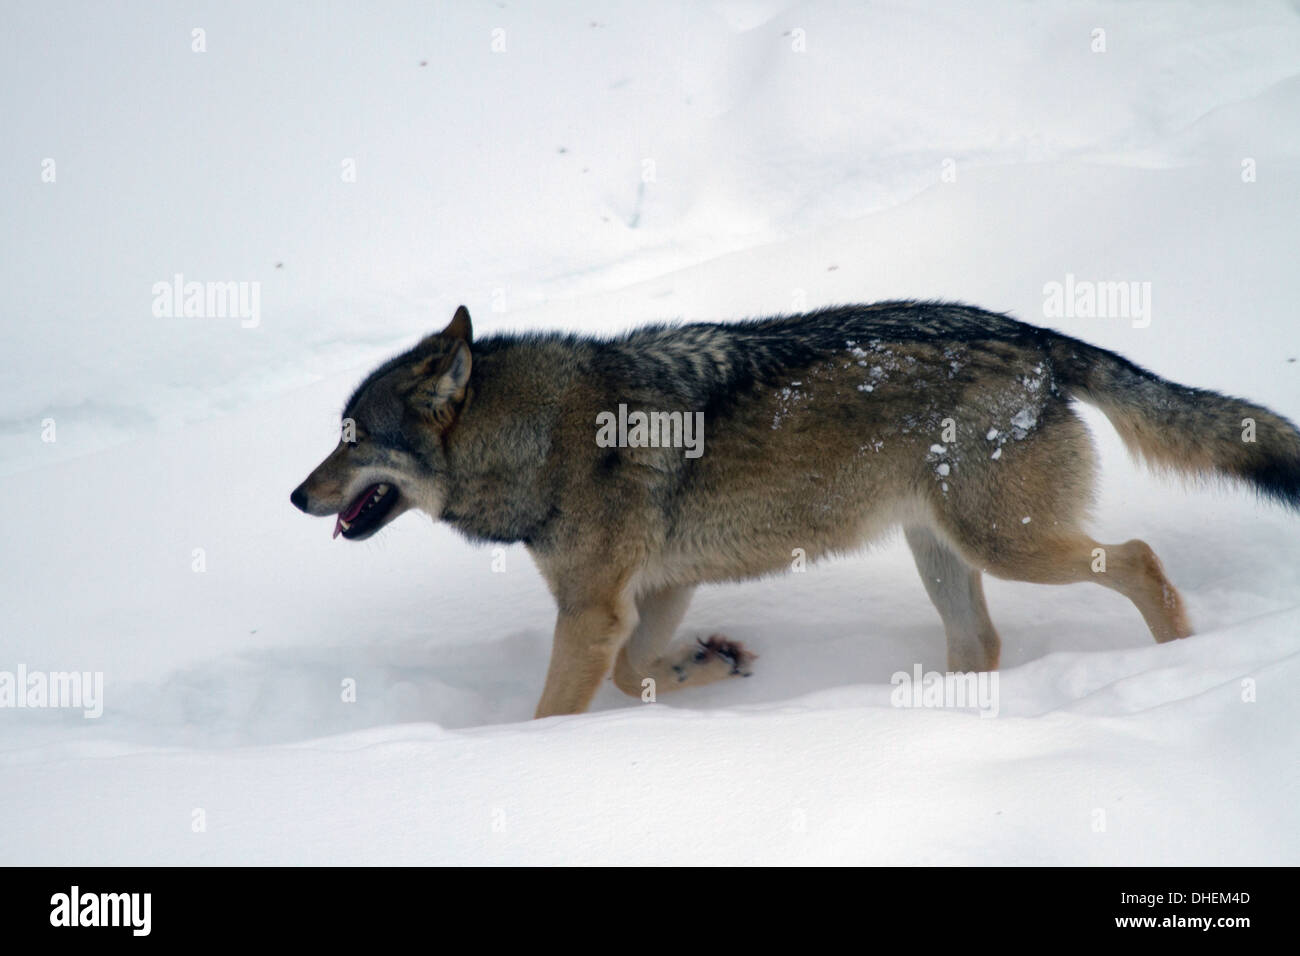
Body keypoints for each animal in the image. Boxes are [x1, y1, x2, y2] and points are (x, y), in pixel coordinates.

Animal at [291, 303, 1300, 718]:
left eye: (352, 438)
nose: (297, 495)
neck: (539, 437)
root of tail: (1037, 337)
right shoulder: (651, 595)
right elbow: (637, 673)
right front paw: (713, 666)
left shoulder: (591, 610)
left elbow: (561, 707)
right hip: (941, 551)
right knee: (984, 643)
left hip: (1001, 544)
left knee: (1140, 558)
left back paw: (1182, 661)